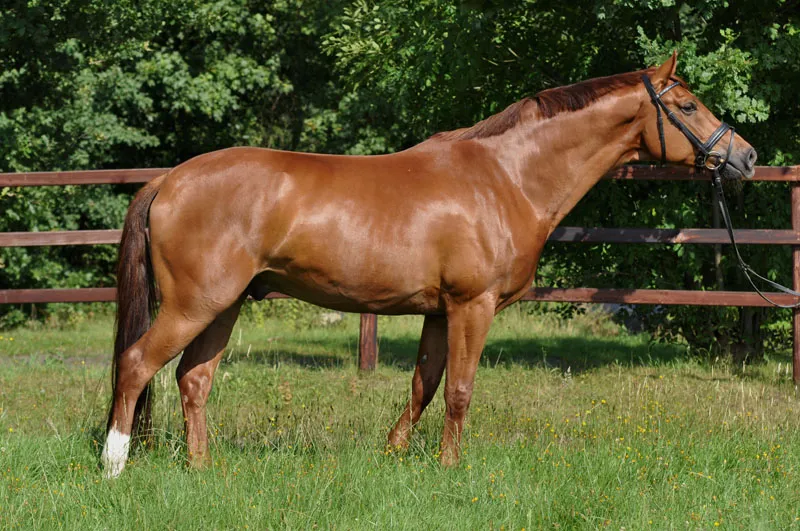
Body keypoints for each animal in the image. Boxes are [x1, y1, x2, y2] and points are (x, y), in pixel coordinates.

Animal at [102, 53, 757, 477]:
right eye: (688, 104)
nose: (746, 157)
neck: (507, 177)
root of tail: (169, 180)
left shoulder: (439, 313)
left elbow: (424, 384)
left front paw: (393, 456)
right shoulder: (473, 306)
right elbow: (460, 389)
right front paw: (449, 469)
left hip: (224, 305)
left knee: (193, 379)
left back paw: (203, 468)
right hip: (196, 304)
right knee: (136, 365)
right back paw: (114, 463)